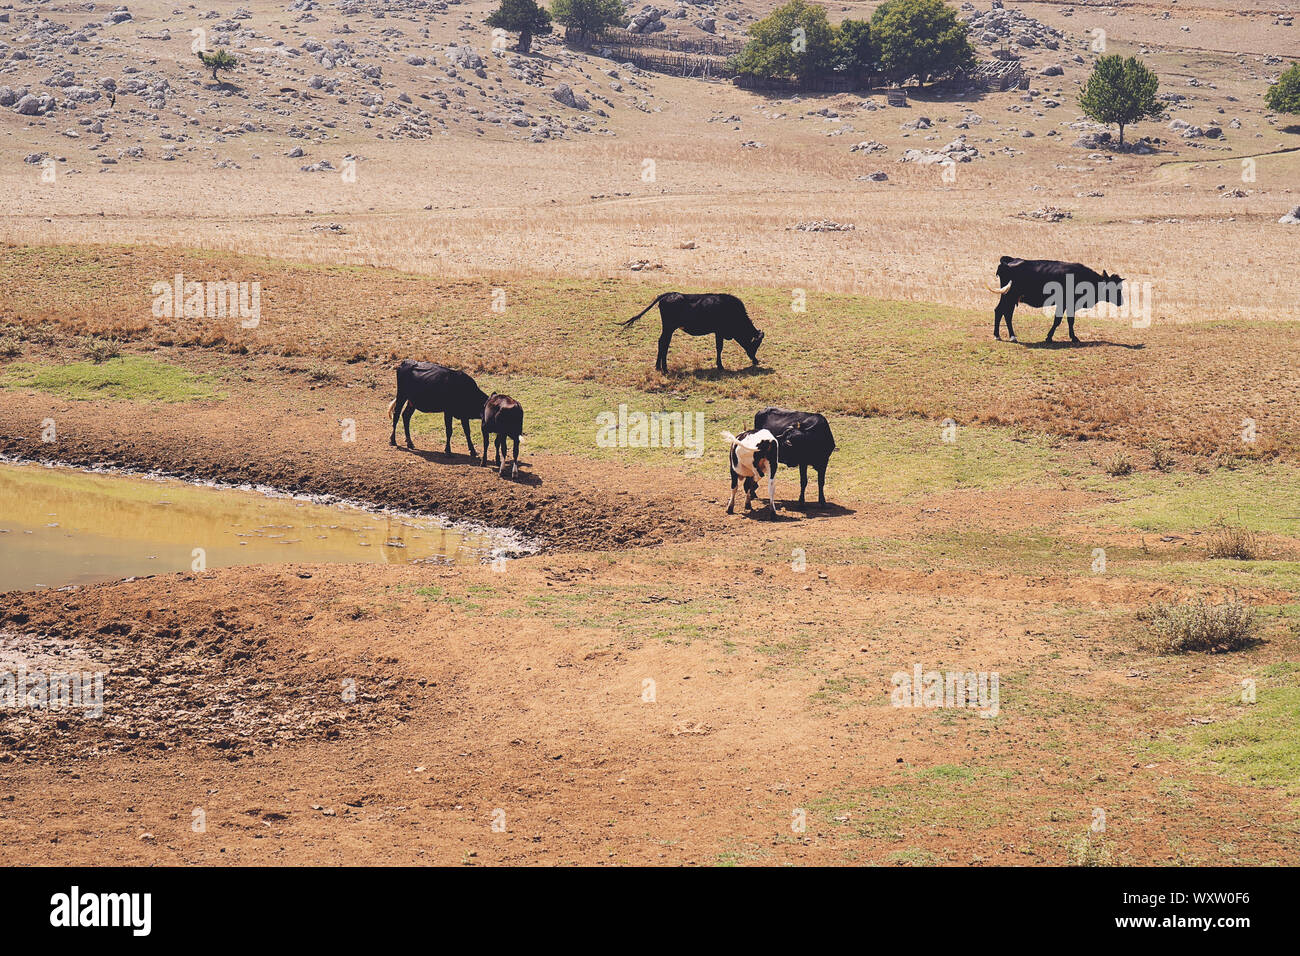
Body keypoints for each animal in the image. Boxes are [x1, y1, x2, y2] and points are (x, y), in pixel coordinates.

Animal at [620, 292, 765, 373]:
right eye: (755, 345)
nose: (756, 361)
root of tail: (669, 294)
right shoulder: (719, 332)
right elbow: (719, 348)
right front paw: (720, 366)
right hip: (669, 328)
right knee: (664, 343)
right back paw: (665, 369)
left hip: (667, 328)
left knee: (662, 343)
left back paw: (658, 367)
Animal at [984, 256, 1125, 343]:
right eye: (1112, 288)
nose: (1121, 301)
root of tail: (1009, 260)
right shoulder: (1066, 303)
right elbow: (1061, 320)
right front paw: (1054, 337)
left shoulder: (1067, 304)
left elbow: (1067, 320)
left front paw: (1069, 337)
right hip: (1009, 296)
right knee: (1004, 312)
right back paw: (1009, 336)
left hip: (1009, 297)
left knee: (1002, 312)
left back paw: (1000, 335)